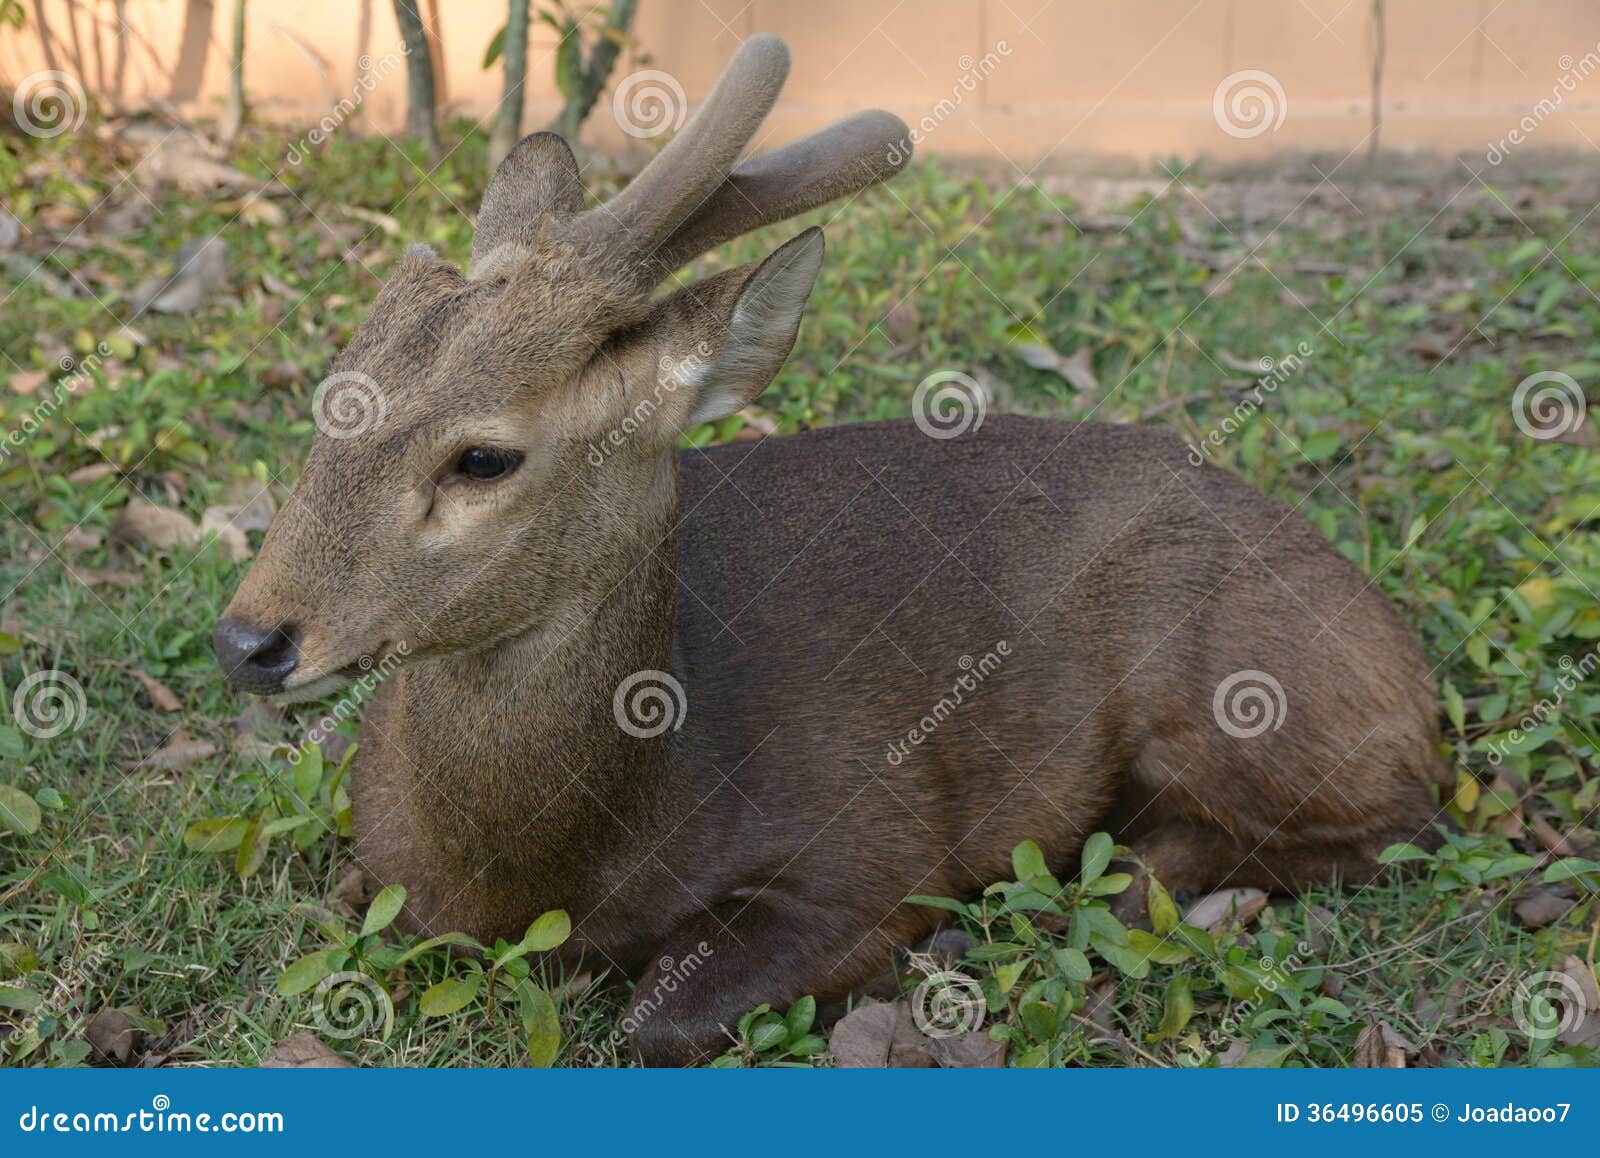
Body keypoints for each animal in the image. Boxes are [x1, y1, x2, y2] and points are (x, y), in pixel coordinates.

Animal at [213, 34, 1449, 1065]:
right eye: (333, 393)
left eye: (483, 457)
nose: (249, 641)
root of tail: (1402, 652)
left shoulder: (868, 847)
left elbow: (662, 1021)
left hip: (1239, 695)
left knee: (1386, 825)